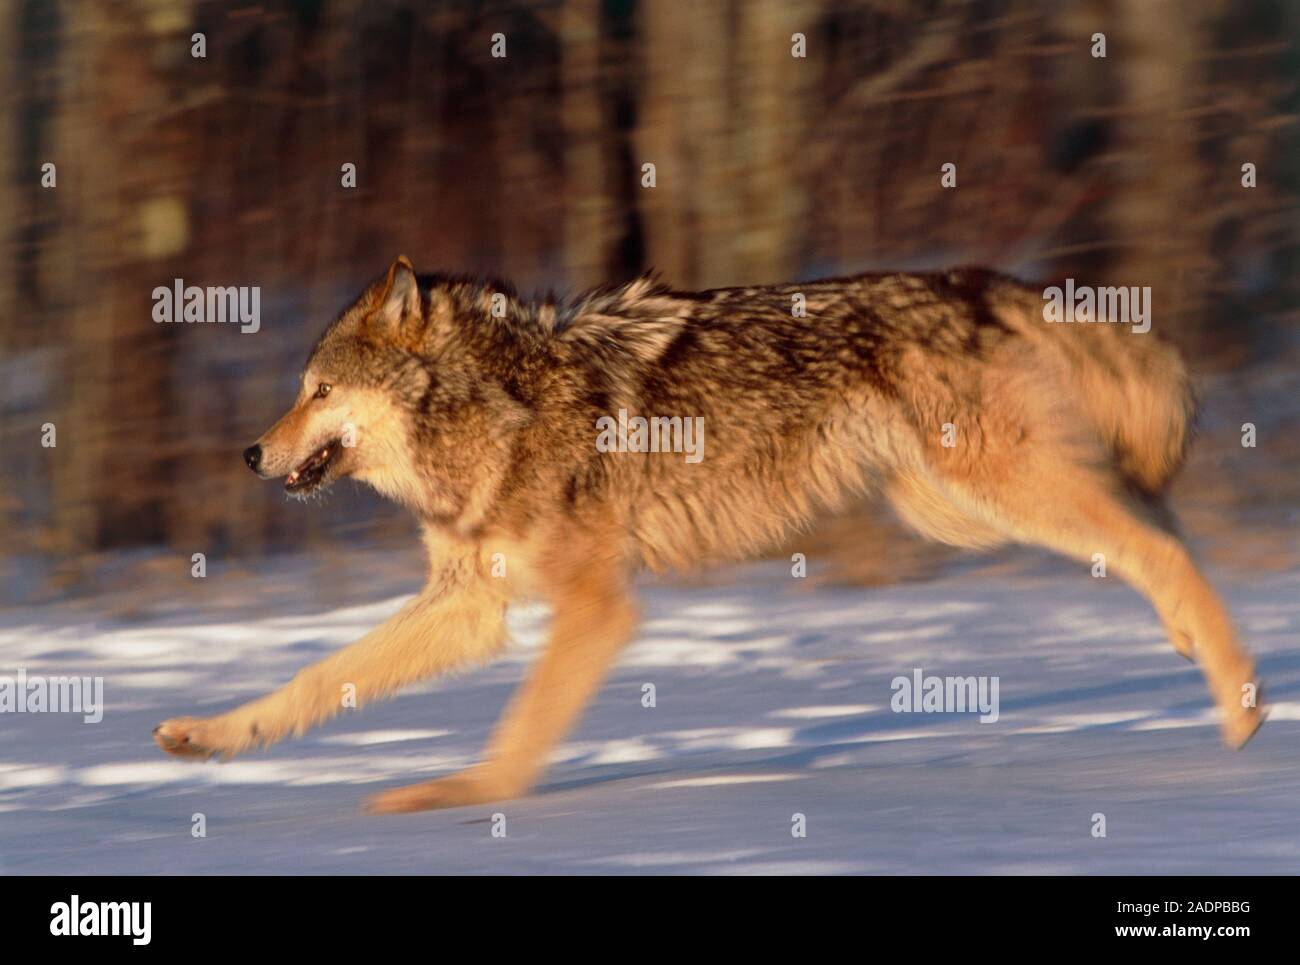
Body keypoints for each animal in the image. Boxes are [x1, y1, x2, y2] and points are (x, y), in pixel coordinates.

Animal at [154, 257, 1264, 812]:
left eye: (316, 391)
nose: (250, 452)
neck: (494, 410)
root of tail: (981, 278)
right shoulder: (472, 605)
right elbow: (312, 678)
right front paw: (207, 735)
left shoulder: (596, 606)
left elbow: (518, 729)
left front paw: (467, 796)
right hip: (955, 504)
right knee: (1146, 528)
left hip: (987, 490)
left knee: (1160, 544)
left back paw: (1240, 705)